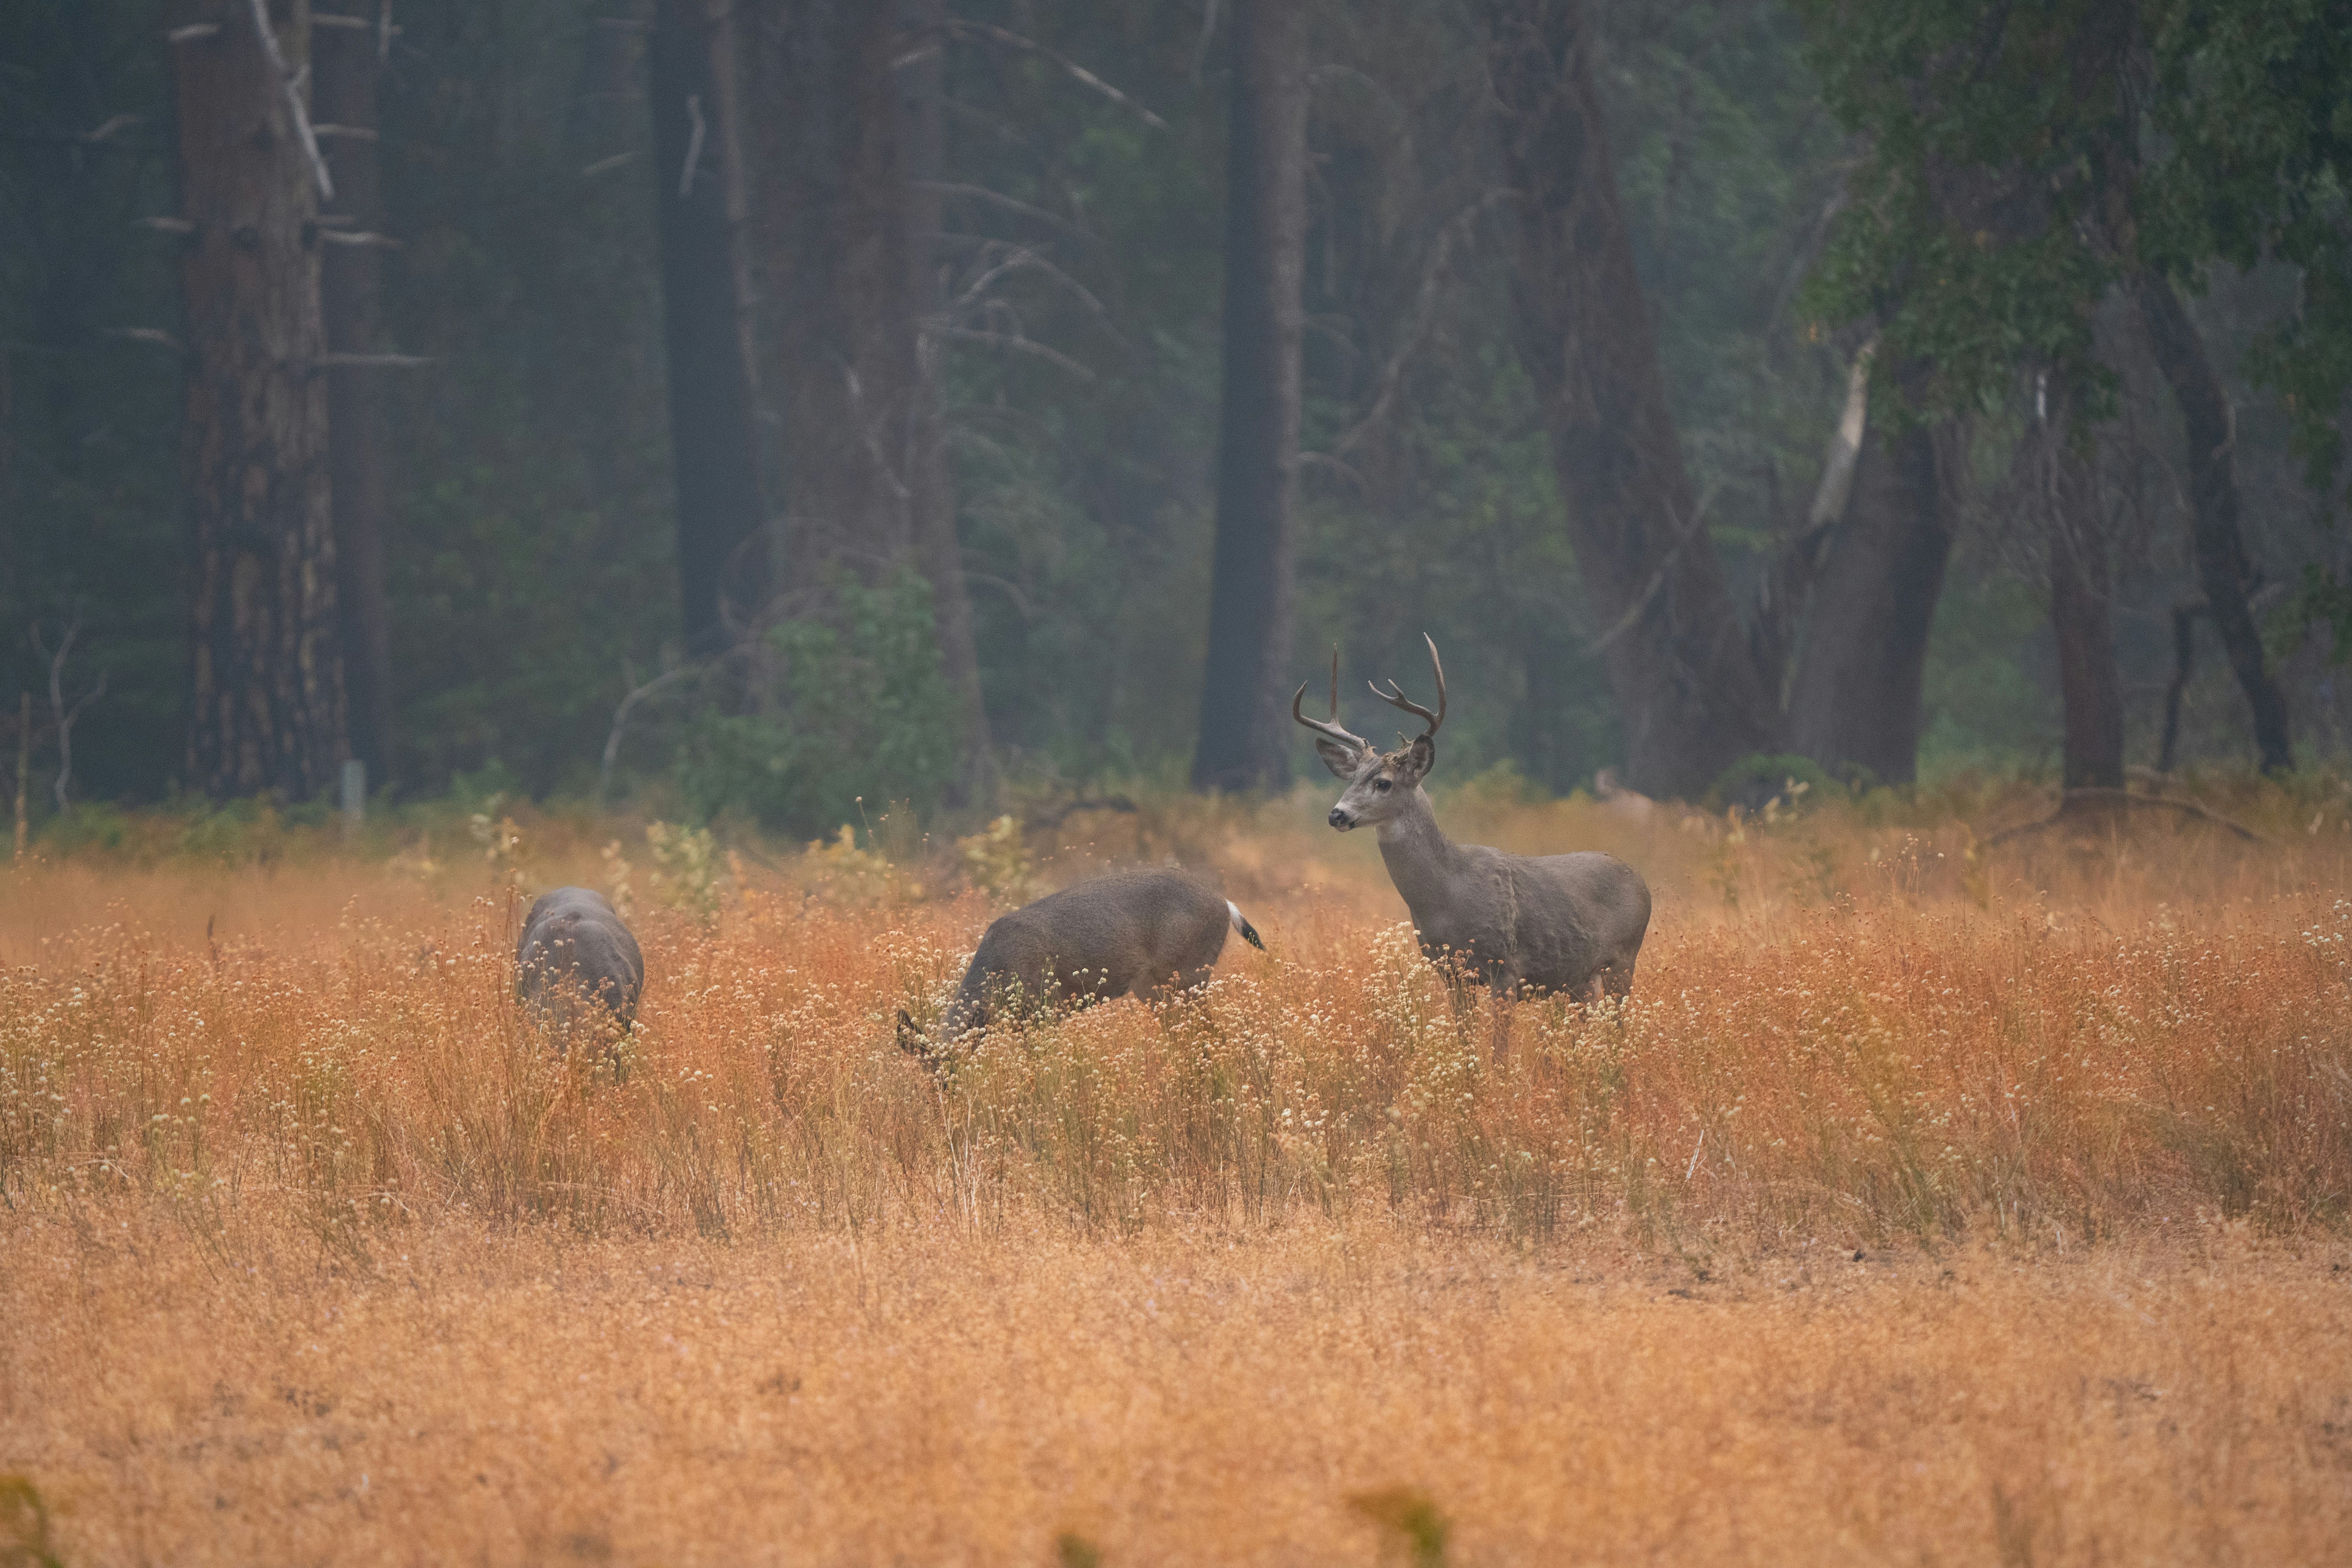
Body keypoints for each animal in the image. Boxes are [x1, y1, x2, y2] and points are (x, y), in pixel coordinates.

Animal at [897, 869, 1264, 1061]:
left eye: (953, 1072)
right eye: (927, 1078)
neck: (999, 970)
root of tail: (1225, 904)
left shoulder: (1043, 1011)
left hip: (1190, 975)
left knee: (1212, 1035)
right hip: (1154, 989)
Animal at [1293, 636, 1651, 1053]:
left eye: (1383, 783)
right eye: (1351, 780)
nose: (1337, 814)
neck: (1448, 894)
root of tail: (1641, 882)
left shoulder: (1505, 967)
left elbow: (1499, 1051)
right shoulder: (1448, 970)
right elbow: (1466, 1042)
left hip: (1623, 960)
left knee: (1618, 1028)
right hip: (1579, 980)